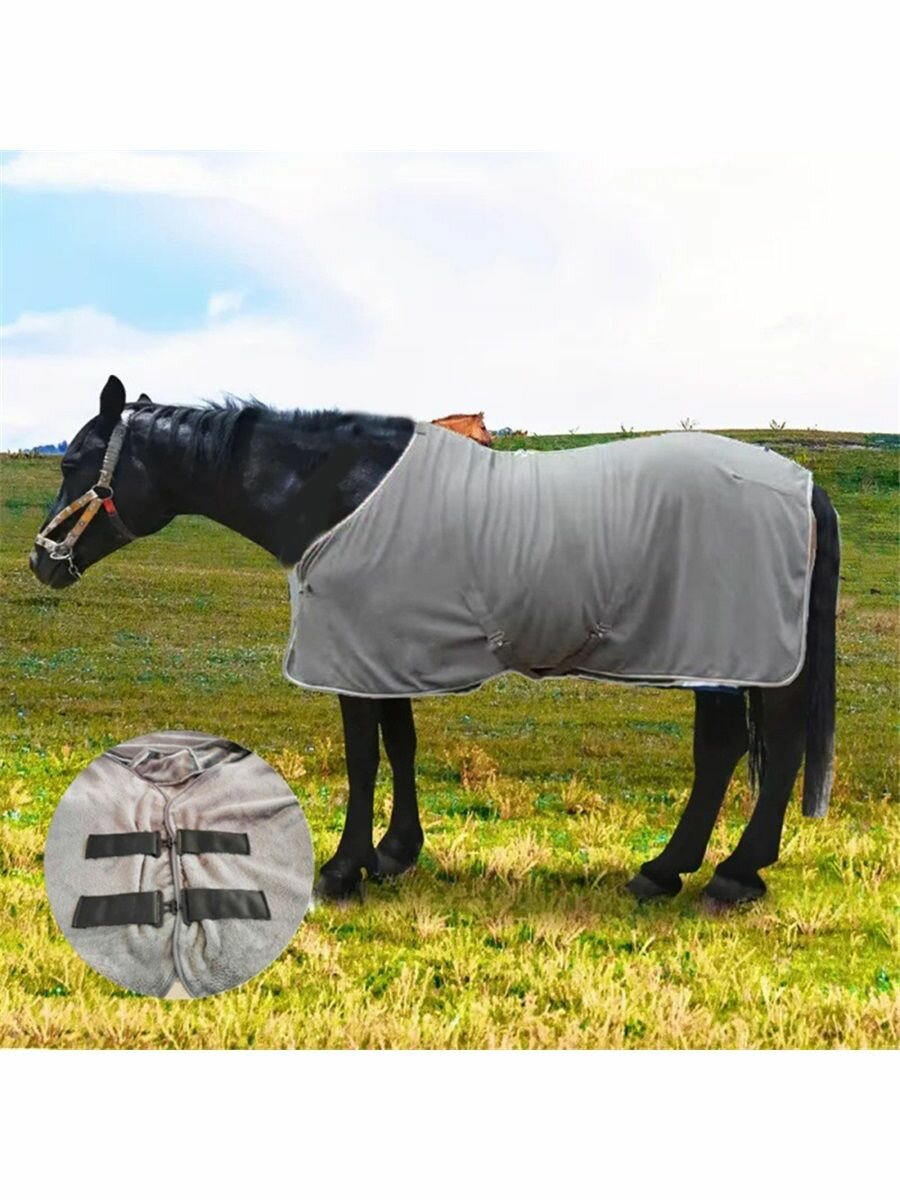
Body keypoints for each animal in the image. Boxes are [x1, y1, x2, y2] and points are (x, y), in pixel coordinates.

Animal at [30, 376, 840, 907]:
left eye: (73, 462)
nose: (41, 560)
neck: (336, 493)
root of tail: (803, 485)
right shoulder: (383, 652)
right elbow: (400, 744)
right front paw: (395, 853)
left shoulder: (354, 656)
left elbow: (364, 755)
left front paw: (343, 868)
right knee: (731, 753)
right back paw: (677, 870)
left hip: (731, 657)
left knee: (756, 750)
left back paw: (728, 875)